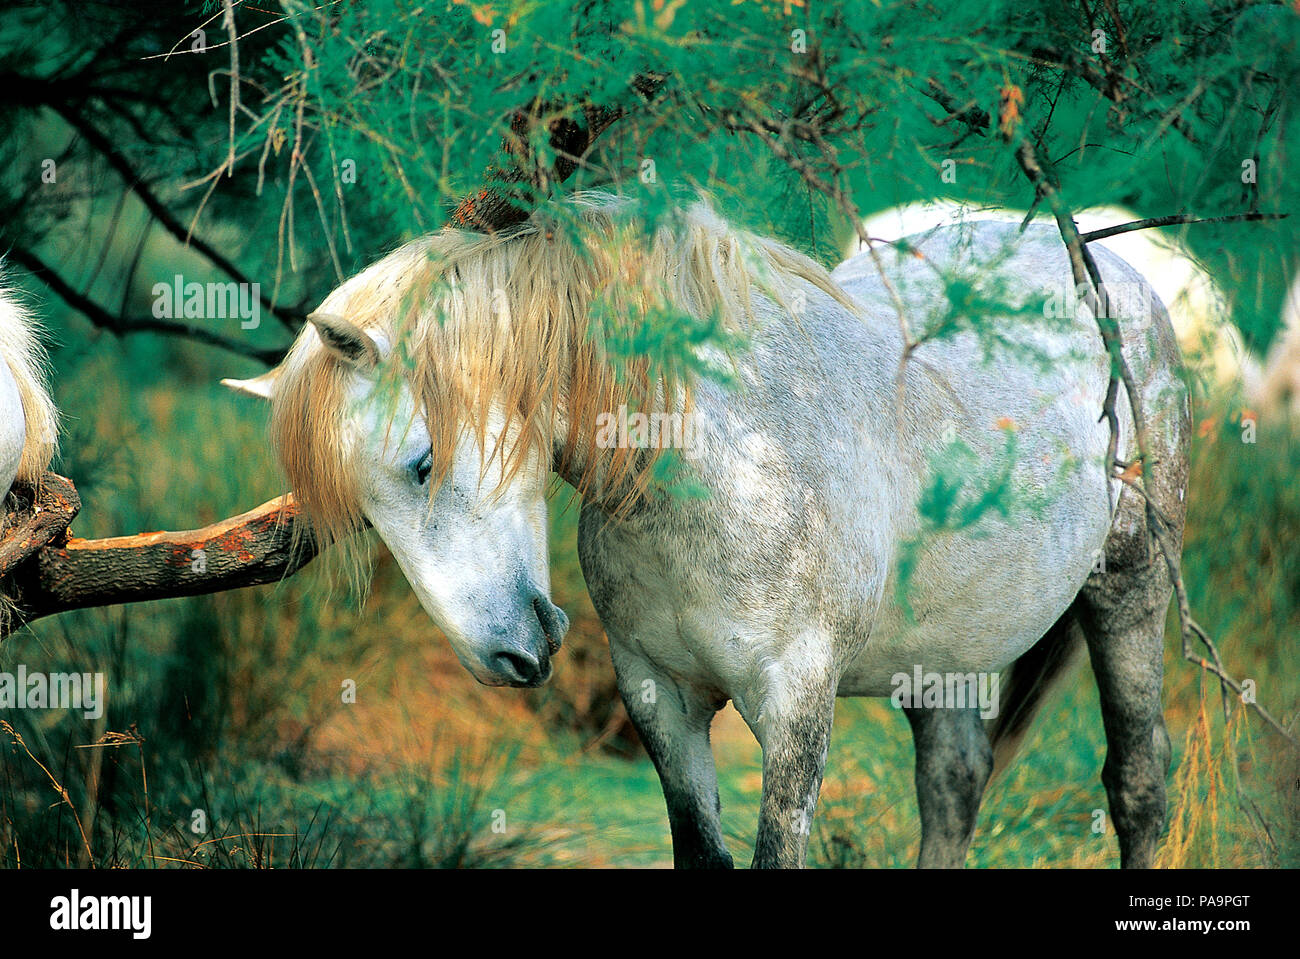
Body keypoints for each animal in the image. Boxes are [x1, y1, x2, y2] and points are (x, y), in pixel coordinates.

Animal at [224, 192, 1189, 868]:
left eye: (422, 462)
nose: (503, 655)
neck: (715, 459)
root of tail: (1104, 266)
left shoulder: (796, 704)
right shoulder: (660, 695)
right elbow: (702, 850)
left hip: (1131, 587)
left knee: (1138, 783)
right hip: (940, 652)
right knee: (953, 782)